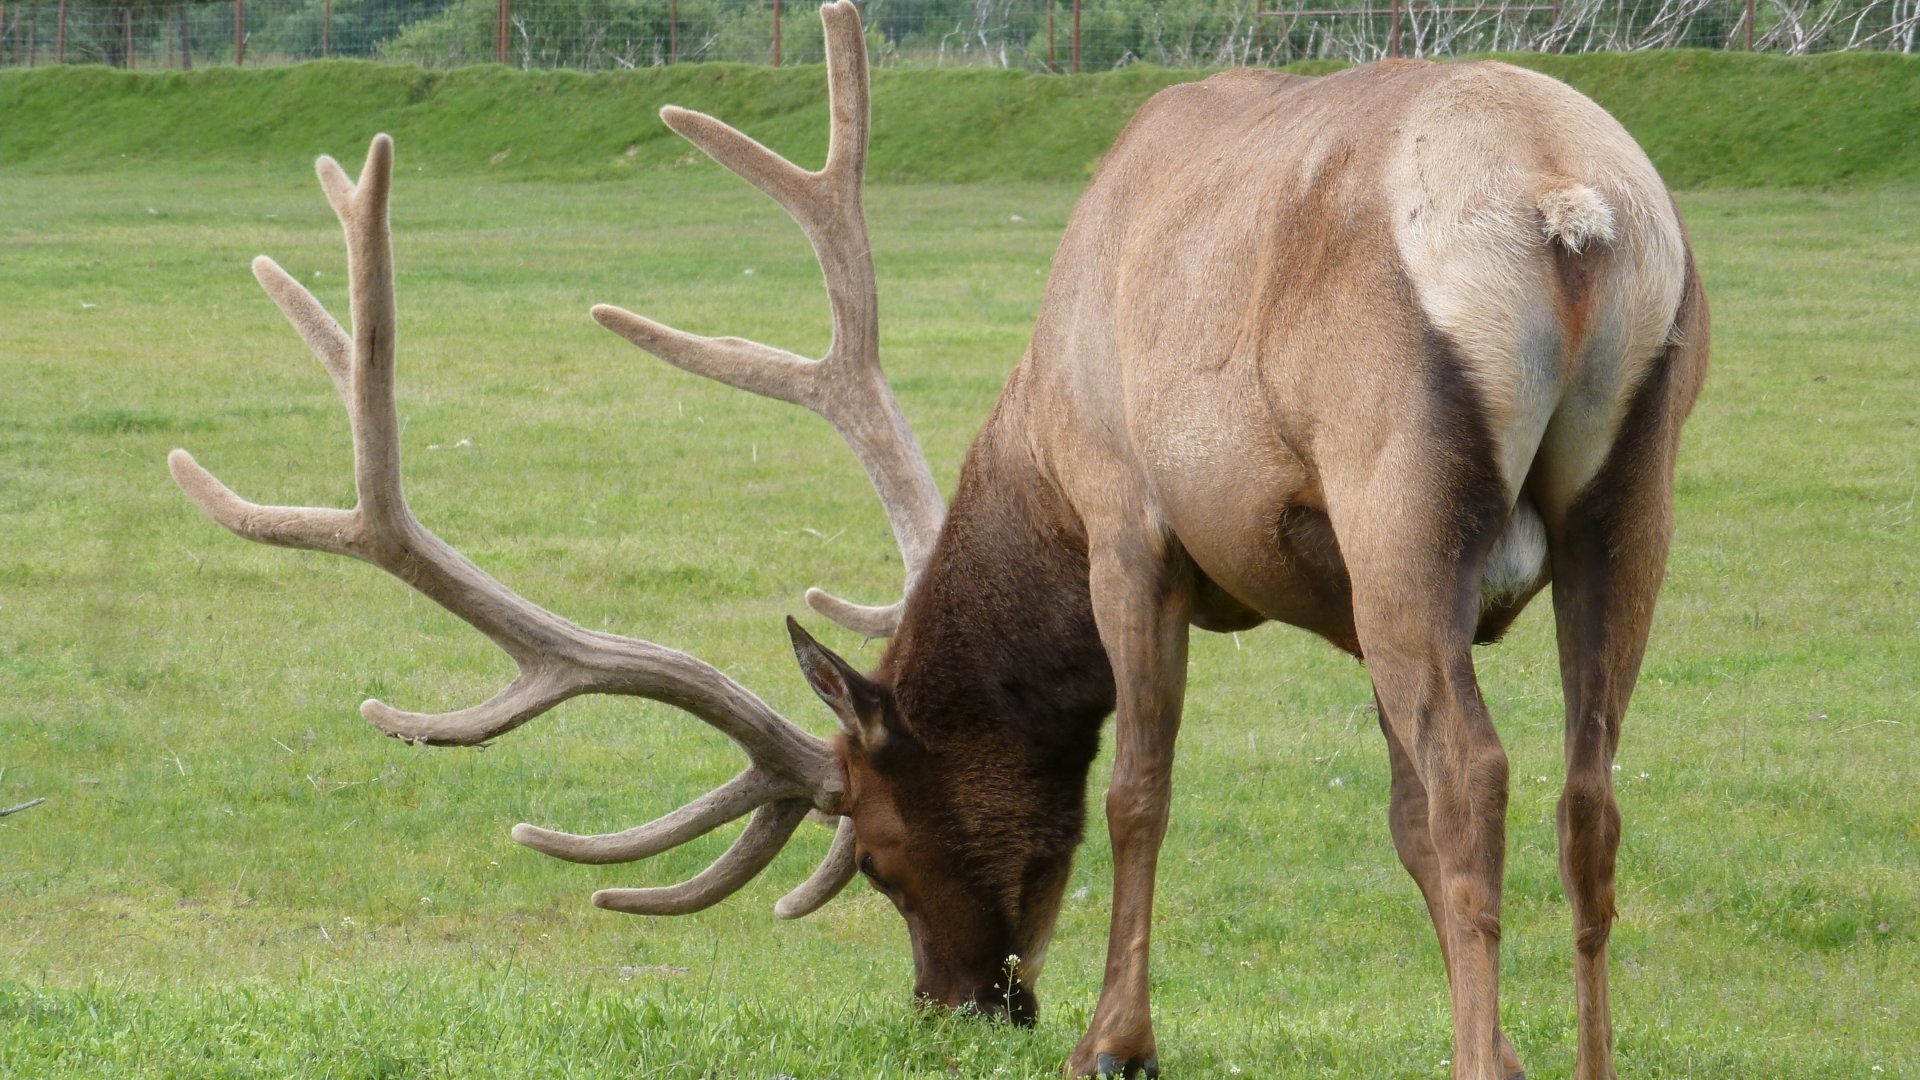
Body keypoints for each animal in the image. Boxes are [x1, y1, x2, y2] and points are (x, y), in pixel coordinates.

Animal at [169, 3, 1708, 1078]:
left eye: (879, 852)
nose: (960, 1006)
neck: (1037, 462)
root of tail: (1571, 207)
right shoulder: (1301, 583)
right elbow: (1389, 823)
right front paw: (1497, 1039)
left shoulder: (1133, 517)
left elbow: (1137, 789)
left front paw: (1117, 1042)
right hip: (1635, 489)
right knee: (1588, 791)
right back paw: (1587, 1058)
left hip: (1399, 483)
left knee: (1480, 775)